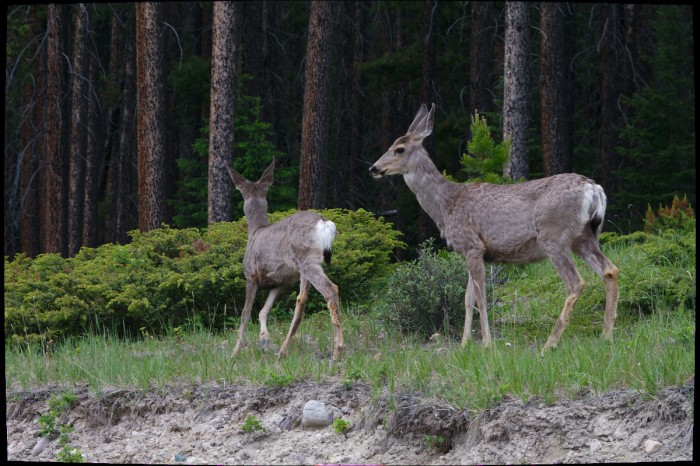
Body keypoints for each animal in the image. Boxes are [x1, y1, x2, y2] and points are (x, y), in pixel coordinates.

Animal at [227, 160, 344, 360]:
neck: (255, 230)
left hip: (306, 259)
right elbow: (263, 311)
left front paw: (235, 351)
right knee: (301, 300)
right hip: (305, 265)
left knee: (330, 289)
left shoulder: (250, 275)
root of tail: (324, 223)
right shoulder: (280, 282)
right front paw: (264, 338)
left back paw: (337, 350)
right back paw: (282, 350)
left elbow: (245, 314)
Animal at [369, 103, 619, 354]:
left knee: (576, 283)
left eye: (399, 149)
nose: (373, 168)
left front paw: (487, 343)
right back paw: (606, 336)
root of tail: (594, 188)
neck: (446, 206)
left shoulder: (472, 245)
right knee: (610, 270)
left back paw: (549, 344)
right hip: (585, 236)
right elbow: (467, 298)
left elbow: (480, 297)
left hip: (553, 236)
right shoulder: (473, 252)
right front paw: (464, 344)